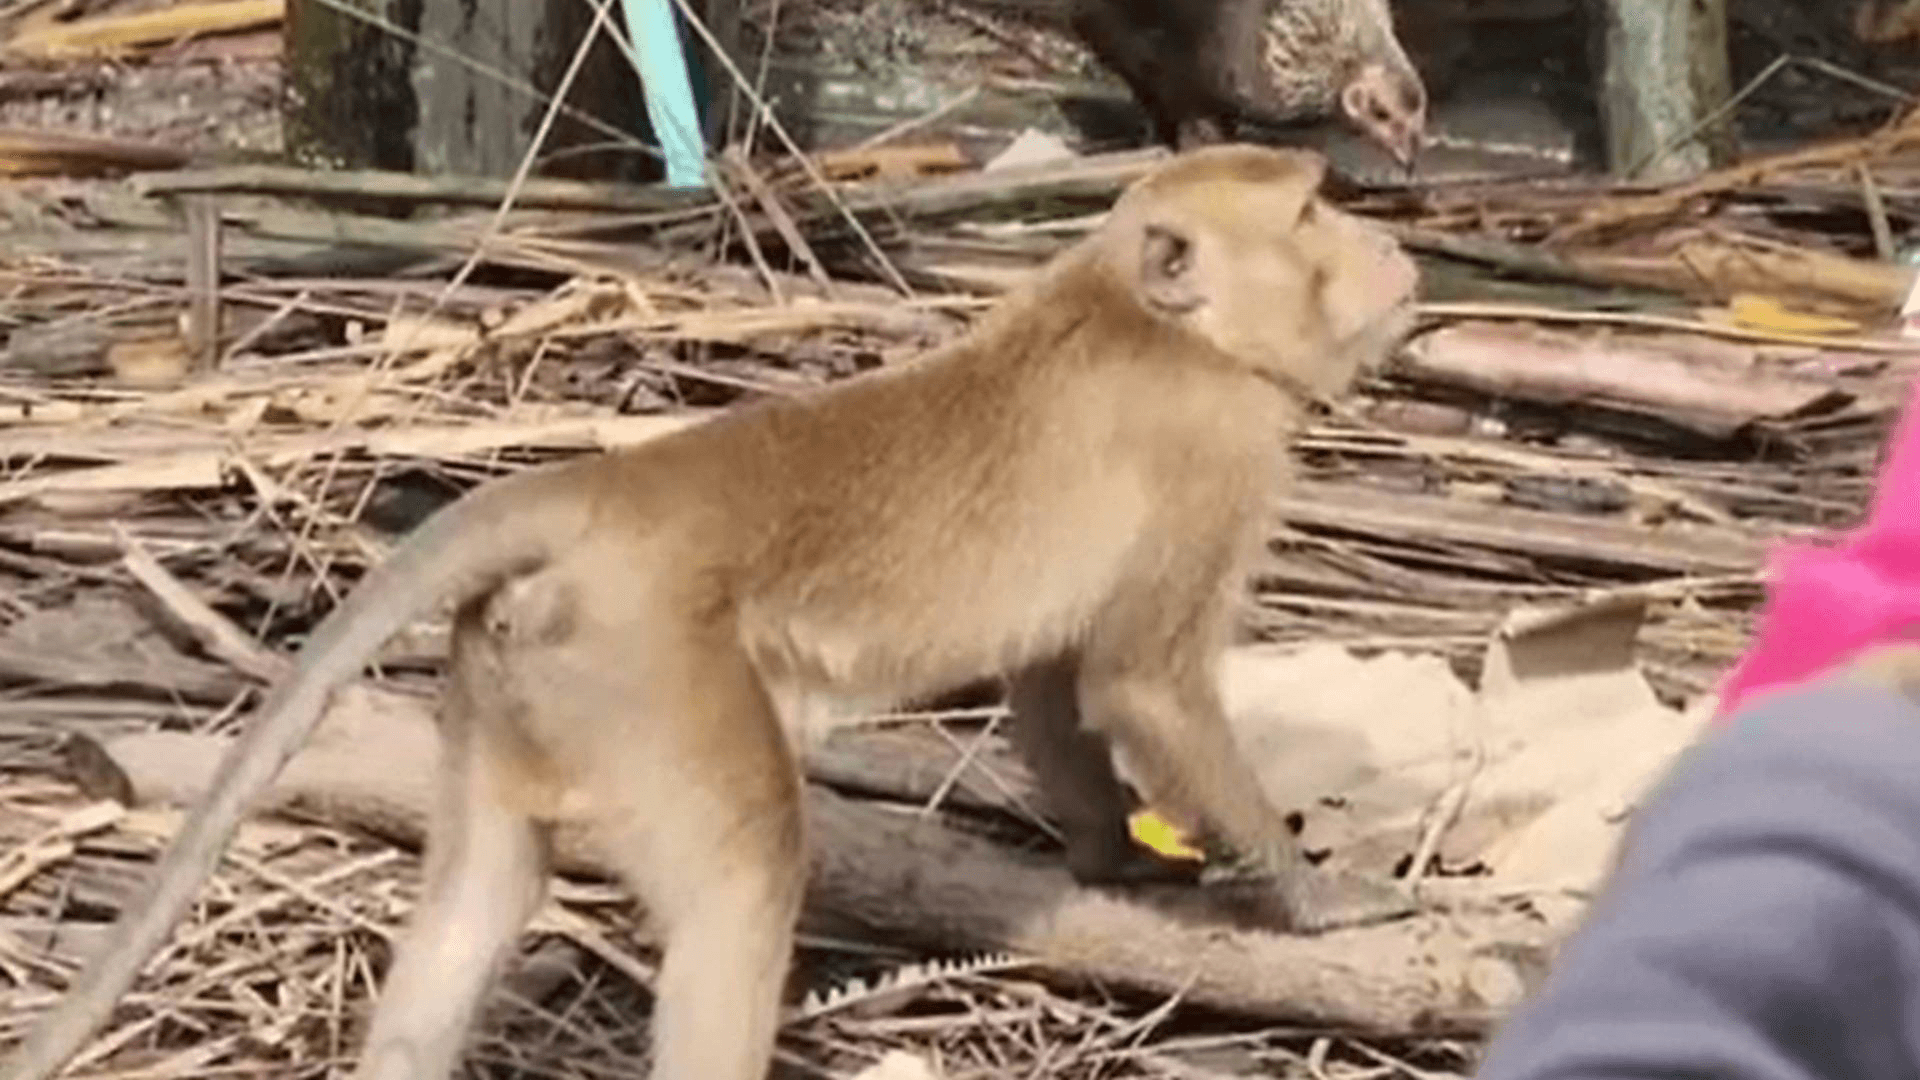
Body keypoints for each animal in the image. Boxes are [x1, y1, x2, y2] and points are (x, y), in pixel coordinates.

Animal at [3, 144, 1421, 1080]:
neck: (1148, 317)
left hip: (510, 689)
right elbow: (1141, 680)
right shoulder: (1217, 448)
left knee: (476, 895)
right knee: (745, 878)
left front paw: (1115, 857)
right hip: (657, 683)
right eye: (1312, 210)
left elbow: (1057, 679)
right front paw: (1314, 902)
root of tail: (604, 489)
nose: (1393, 247)